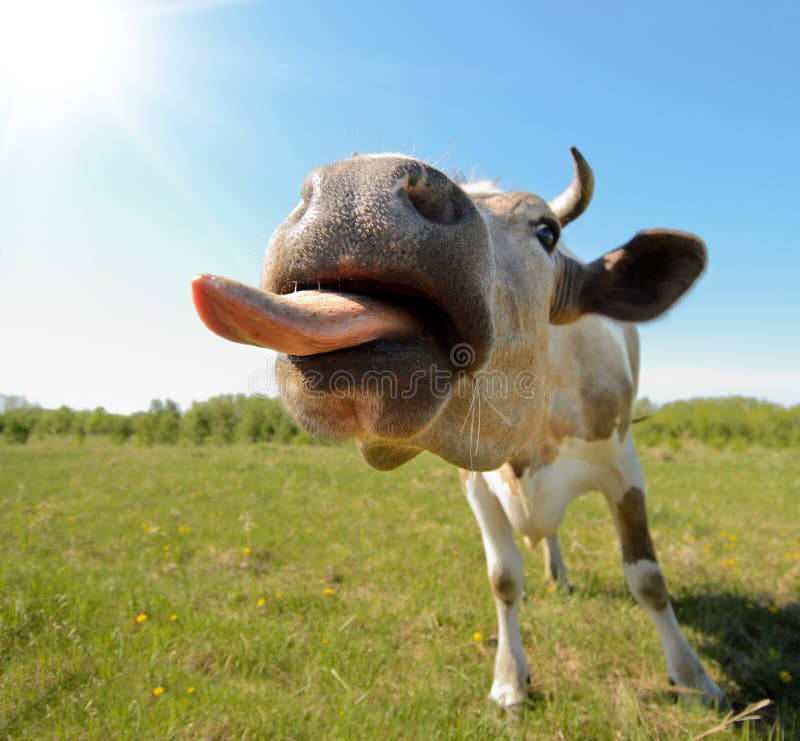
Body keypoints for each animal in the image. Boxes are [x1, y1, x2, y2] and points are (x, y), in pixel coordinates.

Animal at [191, 148, 726, 708]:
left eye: (547, 231)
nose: (360, 187)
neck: (530, 444)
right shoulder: (476, 482)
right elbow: (503, 578)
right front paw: (510, 679)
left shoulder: (624, 464)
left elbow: (648, 578)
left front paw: (694, 677)